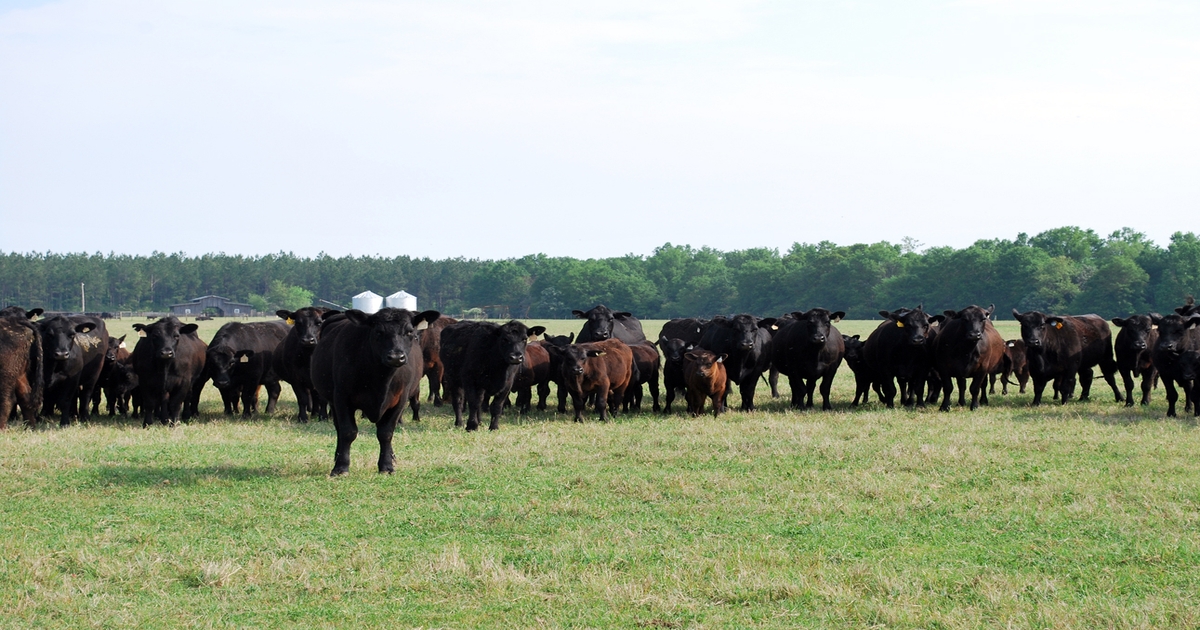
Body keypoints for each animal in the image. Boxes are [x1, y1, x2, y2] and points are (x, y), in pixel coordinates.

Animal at [311, 308, 440, 475]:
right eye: (378, 332)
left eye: (409, 332)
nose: (396, 357)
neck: (381, 379)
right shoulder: (341, 398)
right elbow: (347, 431)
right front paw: (341, 467)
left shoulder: (400, 400)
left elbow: (386, 433)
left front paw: (386, 466)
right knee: (338, 428)